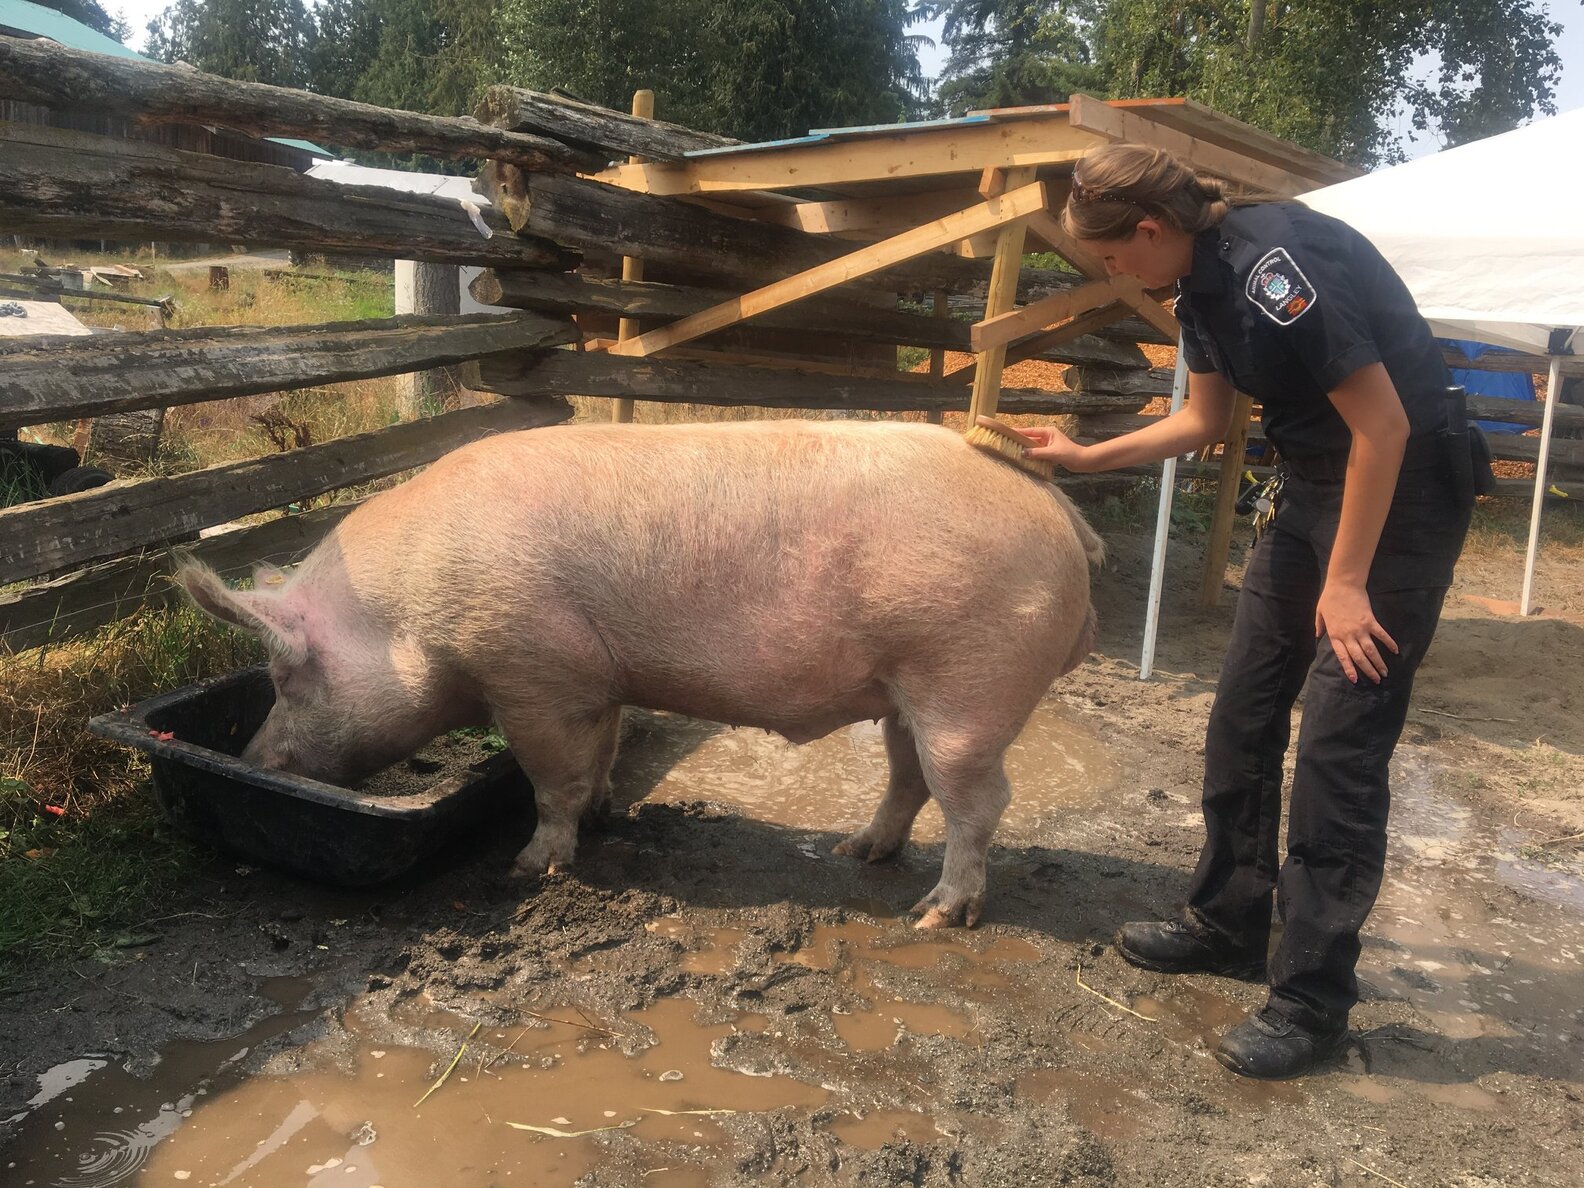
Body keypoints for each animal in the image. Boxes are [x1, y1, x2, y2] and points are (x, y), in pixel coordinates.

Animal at [177, 419, 1102, 927]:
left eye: (286, 677)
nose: (254, 760)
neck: (407, 616)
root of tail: (1058, 511)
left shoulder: (530, 671)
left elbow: (549, 776)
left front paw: (532, 867)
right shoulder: (594, 679)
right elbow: (603, 753)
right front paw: (605, 817)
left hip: (970, 682)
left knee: (979, 800)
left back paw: (934, 918)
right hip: (906, 691)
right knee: (908, 779)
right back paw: (857, 853)